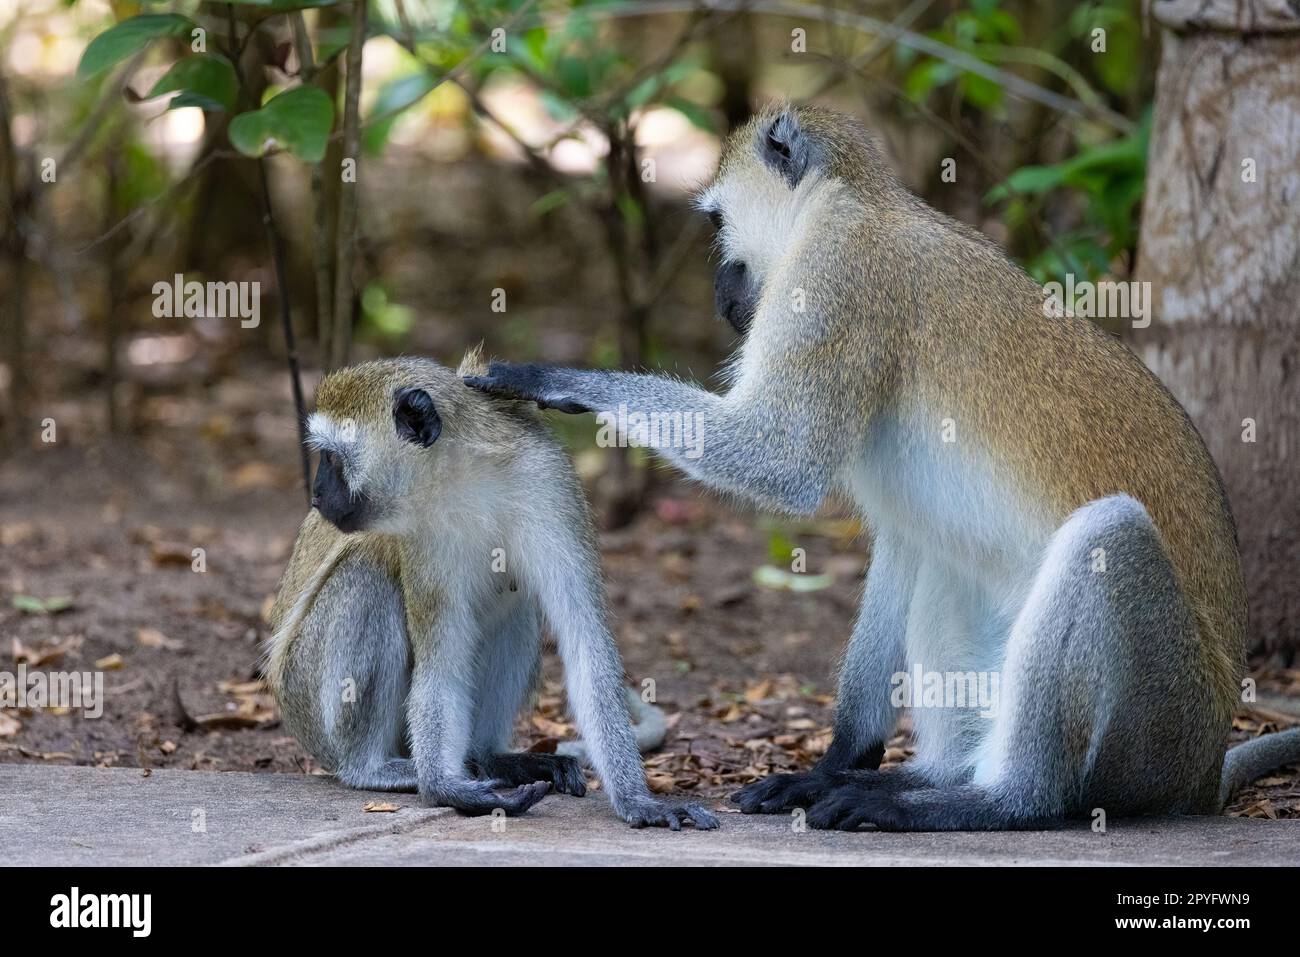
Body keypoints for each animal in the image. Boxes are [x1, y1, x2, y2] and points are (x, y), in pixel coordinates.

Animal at [265, 351, 717, 830]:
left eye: (332, 457)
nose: (316, 496)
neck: (466, 477)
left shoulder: (548, 484)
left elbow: (585, 644)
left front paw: (638, 800)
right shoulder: (421, 533)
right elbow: (443, 660)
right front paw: (447, 789)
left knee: (515, 609)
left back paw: (490, 757)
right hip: (305, 699)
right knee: (367, 572)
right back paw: (369, 768)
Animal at [466, 104, 1300, 831]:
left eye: (715, 222)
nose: (720, 290)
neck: (848, 200)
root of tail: (1201, 770)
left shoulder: (835, 279)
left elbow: (780, 454)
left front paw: (554, 378)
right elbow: (901, 538)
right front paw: (838, 757)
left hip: (1159, 722)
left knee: (1111, 535)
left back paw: (990, 801)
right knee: (943, 548)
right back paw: (924, 776)